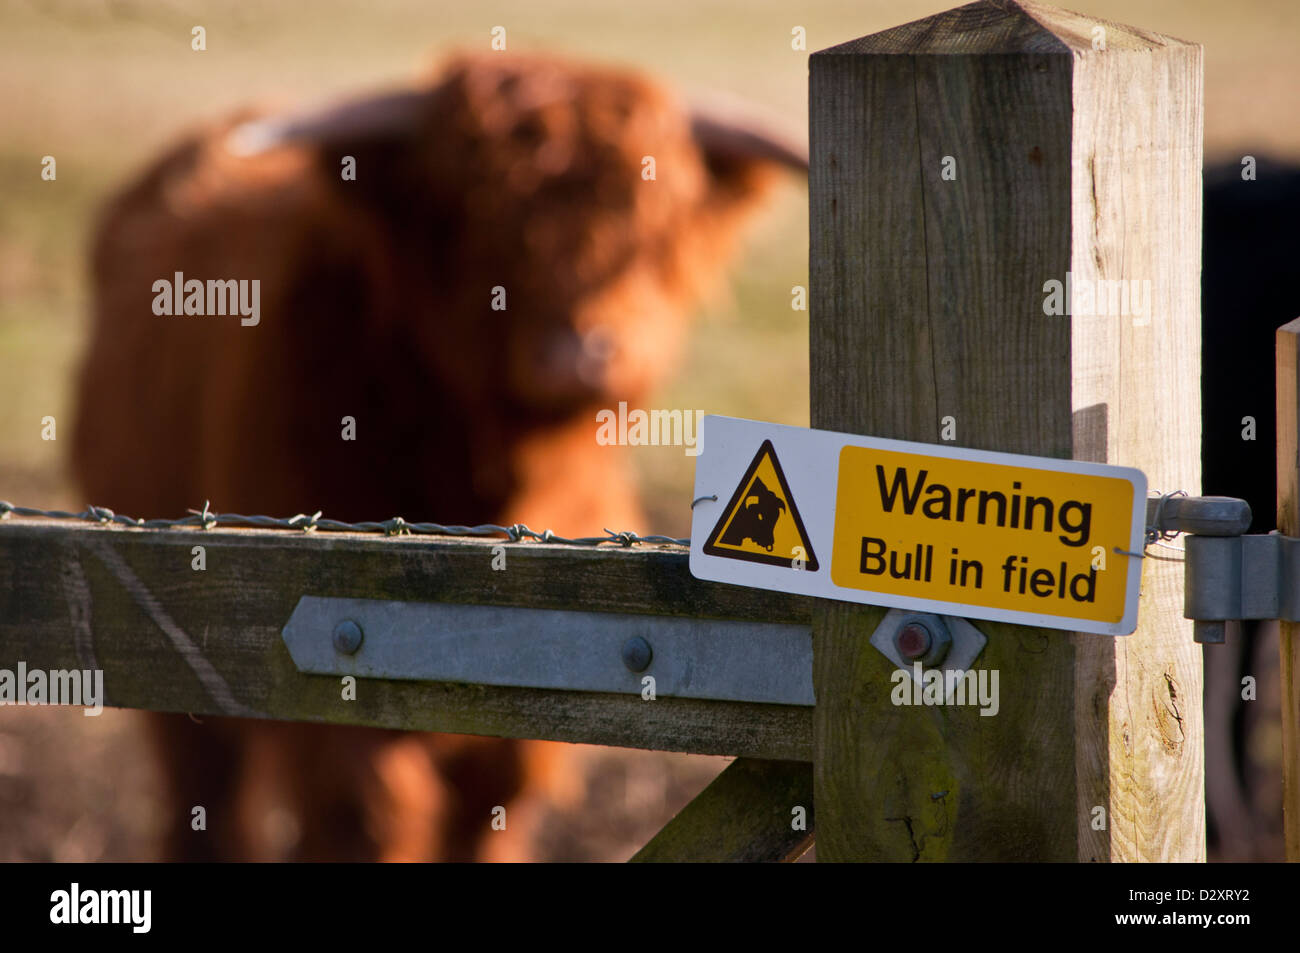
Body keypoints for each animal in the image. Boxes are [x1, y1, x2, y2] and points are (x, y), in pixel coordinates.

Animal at [70, 51, 805, 861]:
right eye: (482, 218)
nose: (582, 352)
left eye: (649, 219)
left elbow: (488, 810)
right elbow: (370, 813)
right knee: (204, 798)